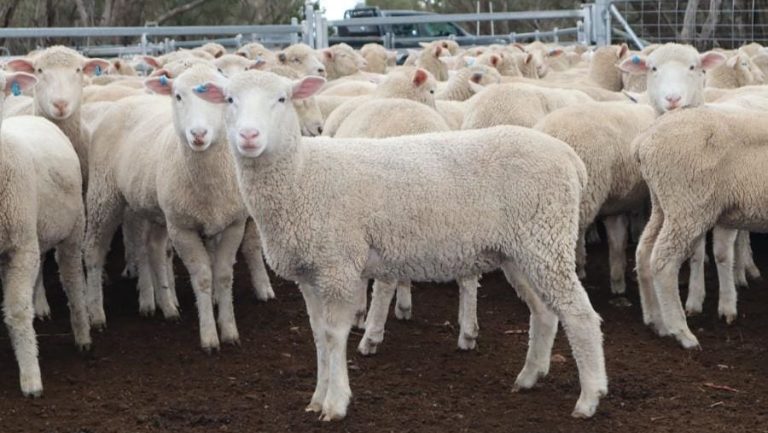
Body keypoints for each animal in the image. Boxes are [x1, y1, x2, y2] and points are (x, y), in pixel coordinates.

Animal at [0, 71, 92, 396]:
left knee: (73, 280)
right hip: (37, 232)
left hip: (72, 230)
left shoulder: (20, 247)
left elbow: (17, 310)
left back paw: (83, 335)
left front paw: (30, 379)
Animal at [84, 64, 254, 350]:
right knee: (94, 252)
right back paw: (96, 313)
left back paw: (168, 308)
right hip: (103, 195)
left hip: (156, 210)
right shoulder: (182, 228)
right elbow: (203, 277)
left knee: (153, 248)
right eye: (178, 96)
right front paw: (209, 336)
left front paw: (229, 330)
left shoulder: (233, 224)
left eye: (221, 97)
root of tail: (126, 101)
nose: (198, 134)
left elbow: (222, 275)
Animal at [196, 70, 607, 420]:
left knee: (580, 315)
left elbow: (333, 335)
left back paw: (589, 398)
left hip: (545, 238)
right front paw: (317, 397)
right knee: (544, 311)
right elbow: (317, 335)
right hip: (520, 250)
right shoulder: (310, 272)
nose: (249, 136)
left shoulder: (337, 264)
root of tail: (569, 158)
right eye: (229, 99)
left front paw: (336, 403)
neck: (300, 175)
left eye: (282, 99)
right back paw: (530, 376)